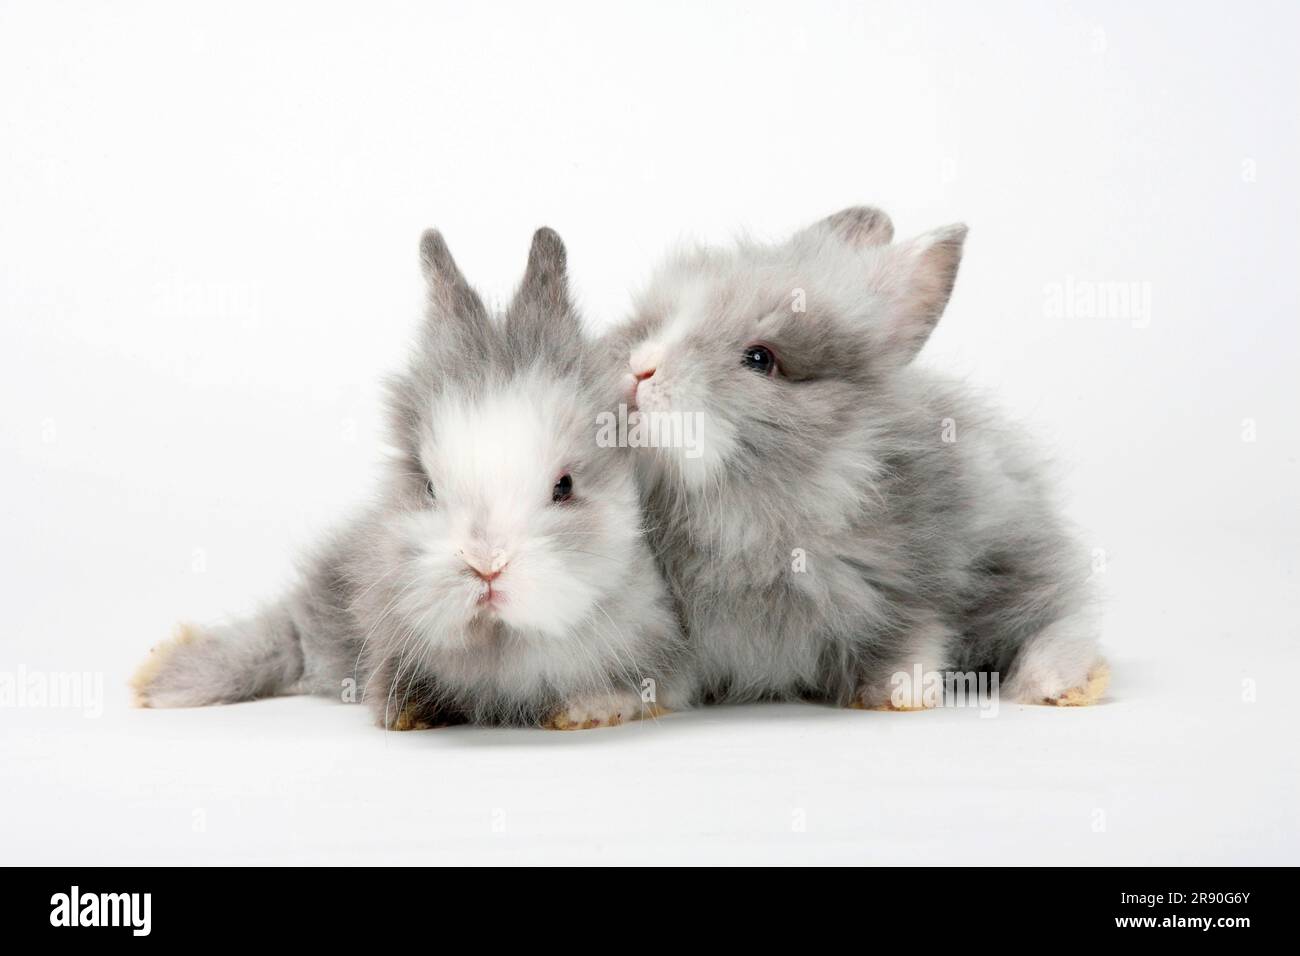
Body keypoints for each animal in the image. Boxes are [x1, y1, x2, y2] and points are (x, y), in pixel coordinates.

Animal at [132, 227, 686, 730]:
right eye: (428, 487)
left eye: (565, 486)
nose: (487, 565)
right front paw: (407, 712)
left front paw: (594, 708)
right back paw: (164, 678)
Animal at [601, 206, 1107, 710]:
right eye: (650, 324)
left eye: (760, 359)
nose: (641, 369)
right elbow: (651, 671)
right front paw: (605, 706)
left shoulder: (919, 587)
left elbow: (916, 637)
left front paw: (903, 692)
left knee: (1056, 617)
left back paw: (1058, 684)